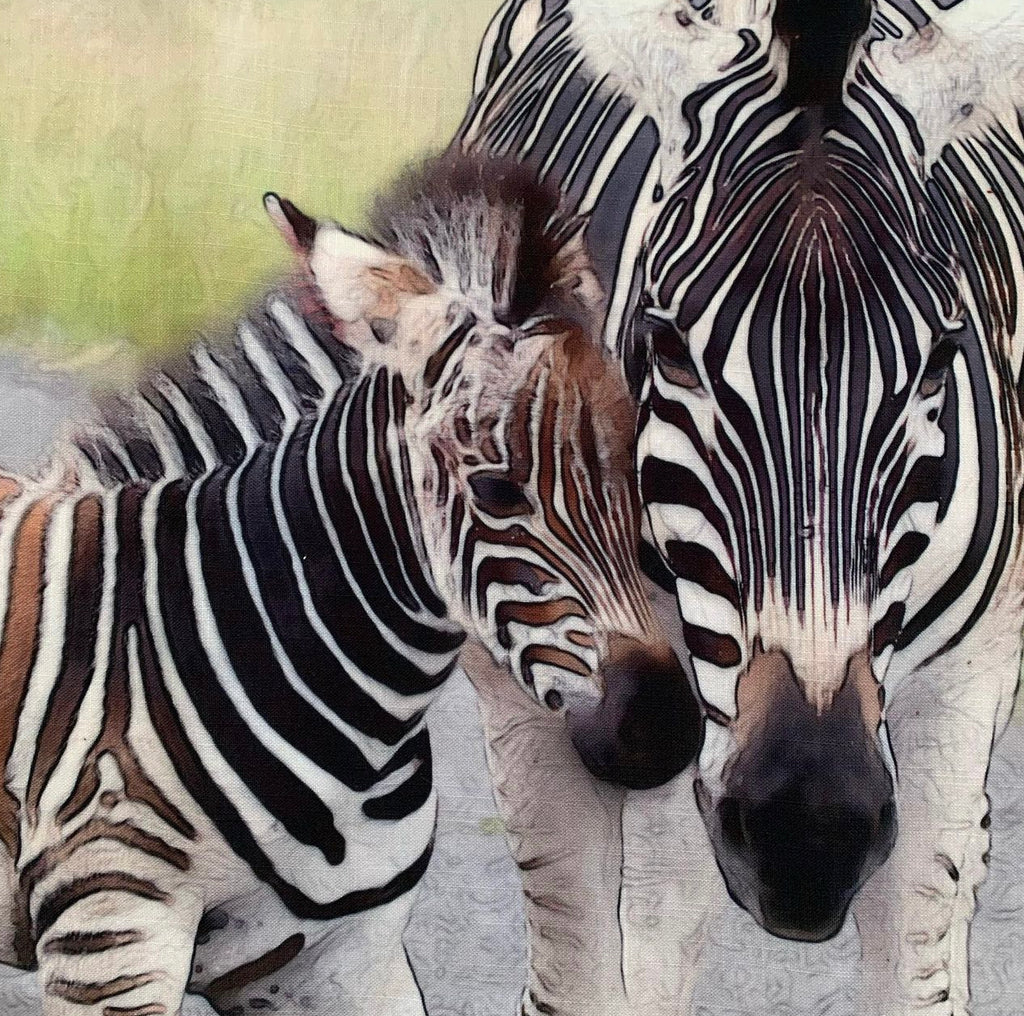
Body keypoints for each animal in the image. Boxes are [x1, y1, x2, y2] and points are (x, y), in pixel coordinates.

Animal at [454, 1, 1024, 1013]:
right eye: (671, 349)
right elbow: (587, 967)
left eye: (936, 362)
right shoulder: (530, 695)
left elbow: (916, 959)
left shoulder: (966, 682)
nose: (809, 832)